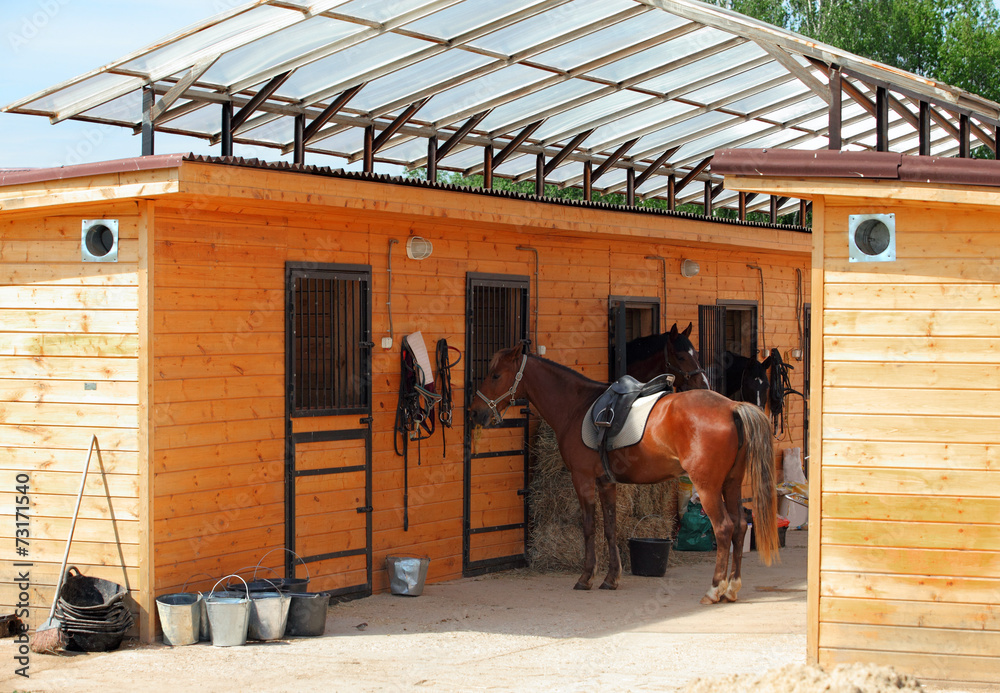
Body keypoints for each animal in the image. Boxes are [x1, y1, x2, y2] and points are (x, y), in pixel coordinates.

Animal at [470, 344, 779, 605]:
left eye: (495, 375)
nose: (476, 413)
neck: (577, 406)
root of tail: (732, 407)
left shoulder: (583, 479)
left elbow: (589, 527)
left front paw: (586, 577)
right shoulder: (607, 483)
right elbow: (609, 527)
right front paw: (611, 578)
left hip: (708, 488)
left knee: (724, 529)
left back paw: (715, 589)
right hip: (731, 485)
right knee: (740, 526)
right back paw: (732, 588)